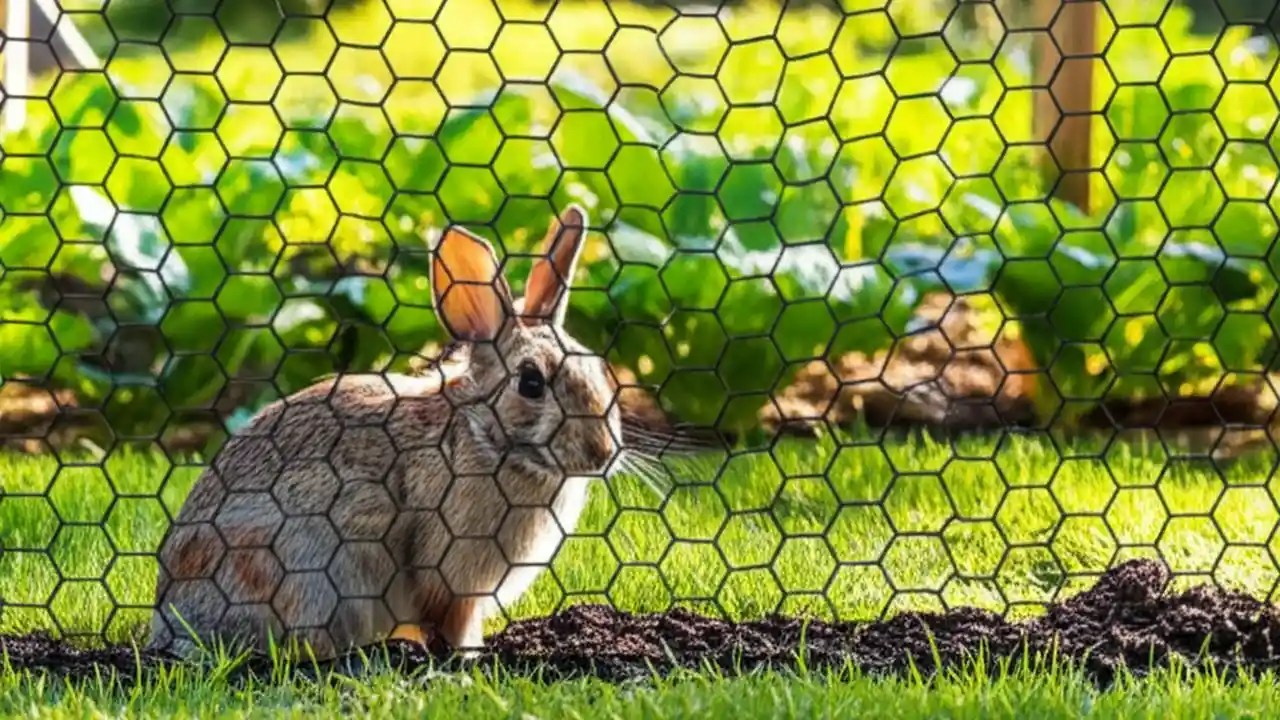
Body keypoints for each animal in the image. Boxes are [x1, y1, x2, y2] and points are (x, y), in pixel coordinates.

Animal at [146, 205, 623, 660]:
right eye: (530, 383)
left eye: (597, 366)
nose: (602, 452)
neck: (484, 437)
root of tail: (168, 621)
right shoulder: (452, 578)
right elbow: (455, 622)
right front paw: (470, 661)